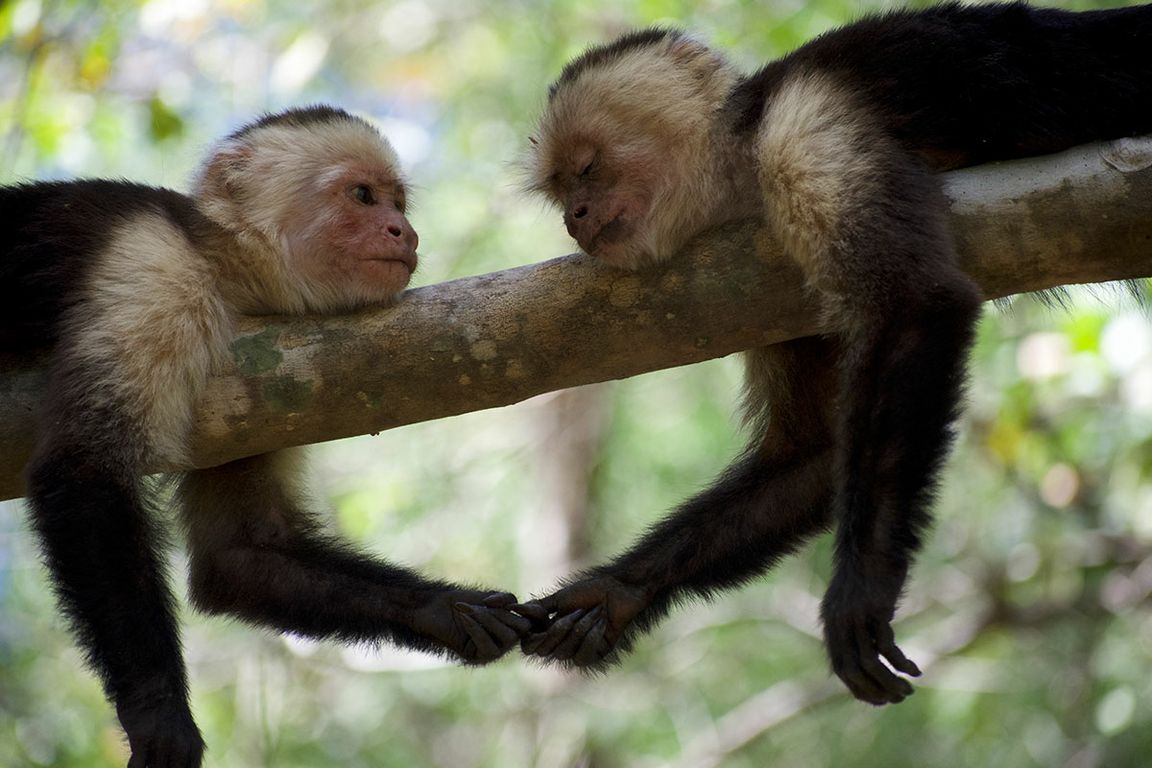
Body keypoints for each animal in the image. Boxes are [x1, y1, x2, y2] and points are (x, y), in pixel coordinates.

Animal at [2, 105, 531, 767]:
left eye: (399, 202)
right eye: (363, 196)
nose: (404, 232)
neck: (223, 270)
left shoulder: (259, 377)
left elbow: (239, 555)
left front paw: (445, 609)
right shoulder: (153, 270)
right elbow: (82, 468)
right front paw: (159, 714)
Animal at [515, 3, 1152, 706]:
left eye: (587, 169)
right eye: (560, 190)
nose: (573, 216)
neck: (740, 165)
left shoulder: (802, 130)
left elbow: (913, 305)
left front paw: (861, 587)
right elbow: (815, 453)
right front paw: (620, 592)